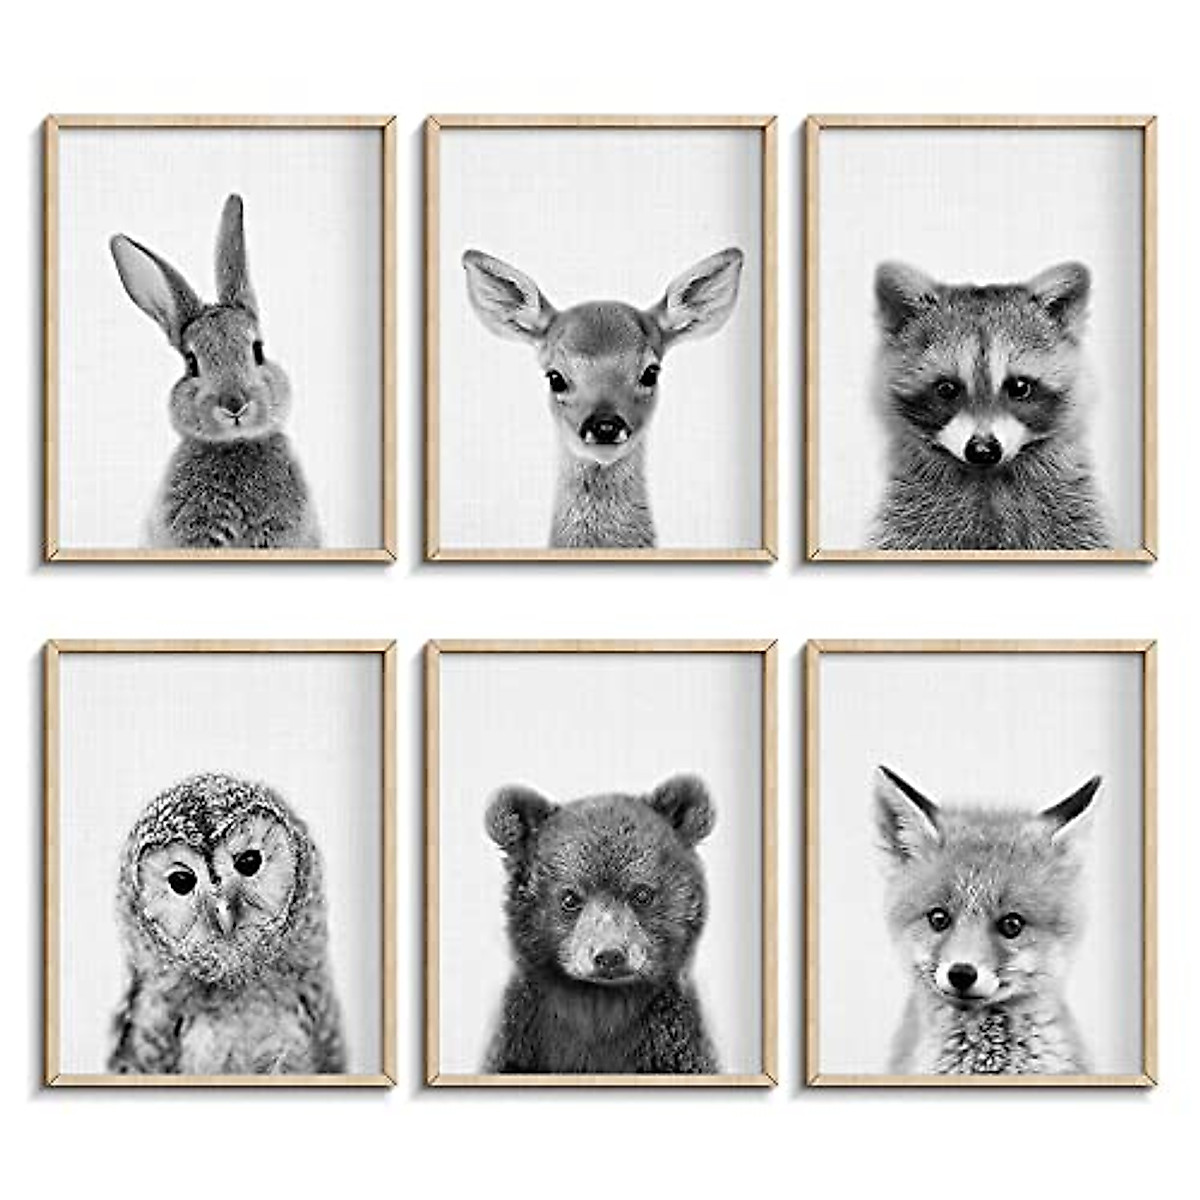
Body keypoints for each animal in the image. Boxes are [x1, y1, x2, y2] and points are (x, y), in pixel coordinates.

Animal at [483, 773, 718, 1075]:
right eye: (569, 898)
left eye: (642, 893)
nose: (609, 956)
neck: (600, 1005)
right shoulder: (522, 1041)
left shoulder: (671, 1047)